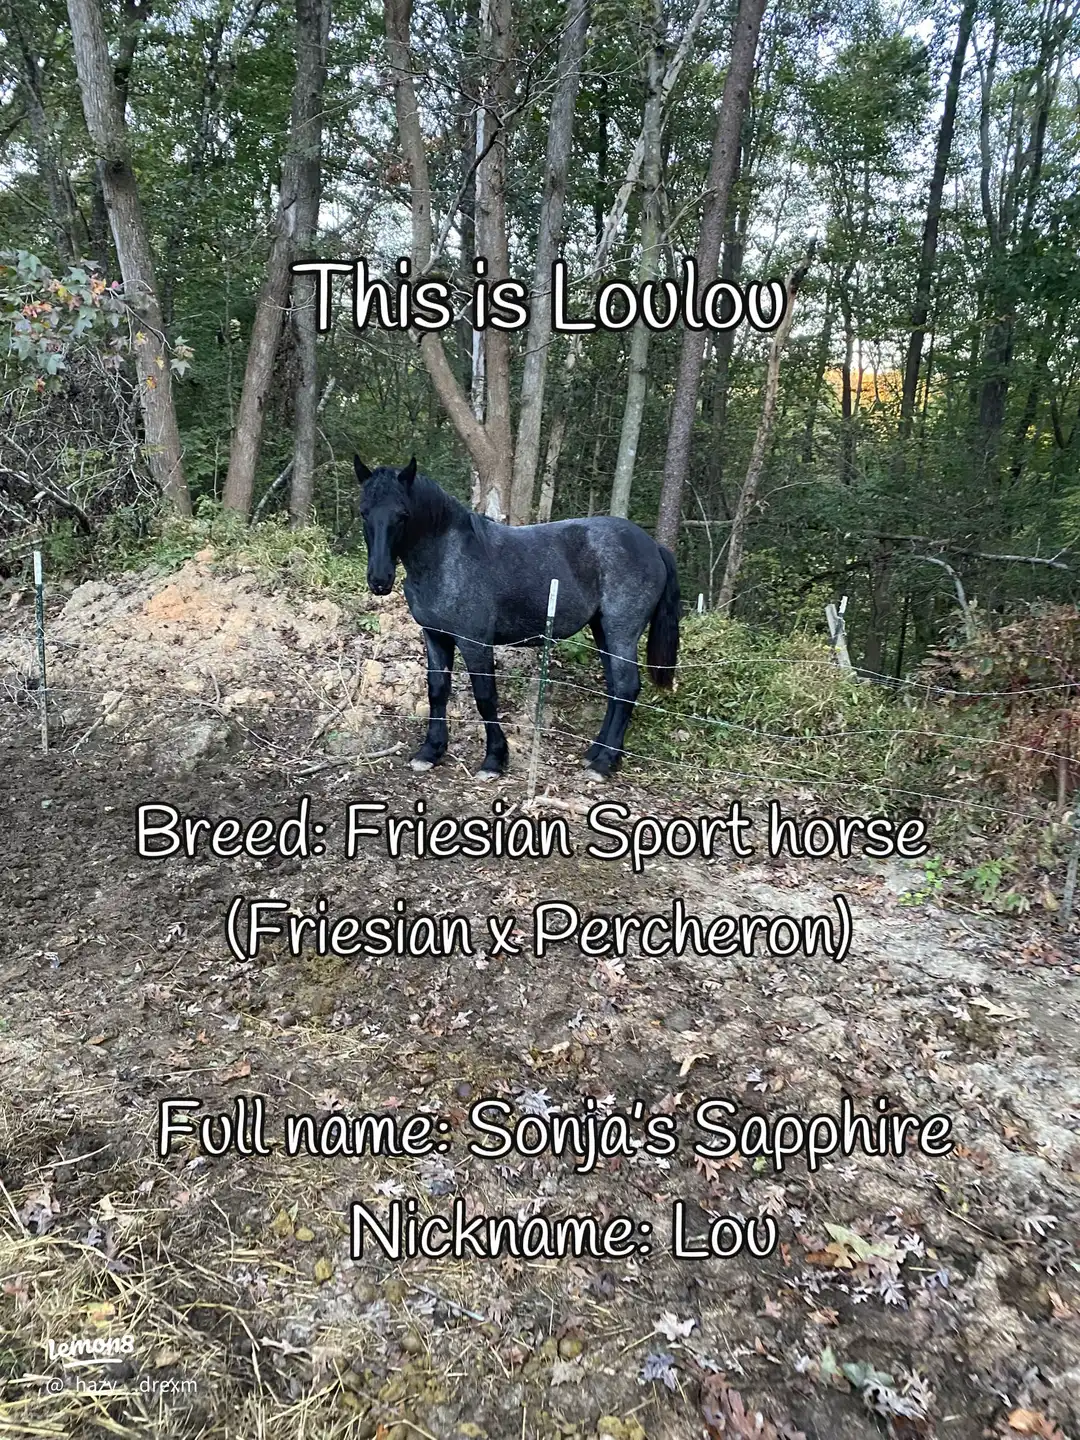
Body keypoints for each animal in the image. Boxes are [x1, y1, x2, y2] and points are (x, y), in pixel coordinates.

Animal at [354, 455, 679, 779]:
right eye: (364, 513)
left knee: (626, 687)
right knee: (615, 688)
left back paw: (603, 763)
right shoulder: (435, 636)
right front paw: (430, 752)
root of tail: (653, 546)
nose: (379, 580)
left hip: (621, 631)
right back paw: (596, 754)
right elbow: (437, 690)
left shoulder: (474, 642)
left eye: (403, 514)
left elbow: (485, 696)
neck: (447, 556)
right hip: (602, 630)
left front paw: (494, 760)